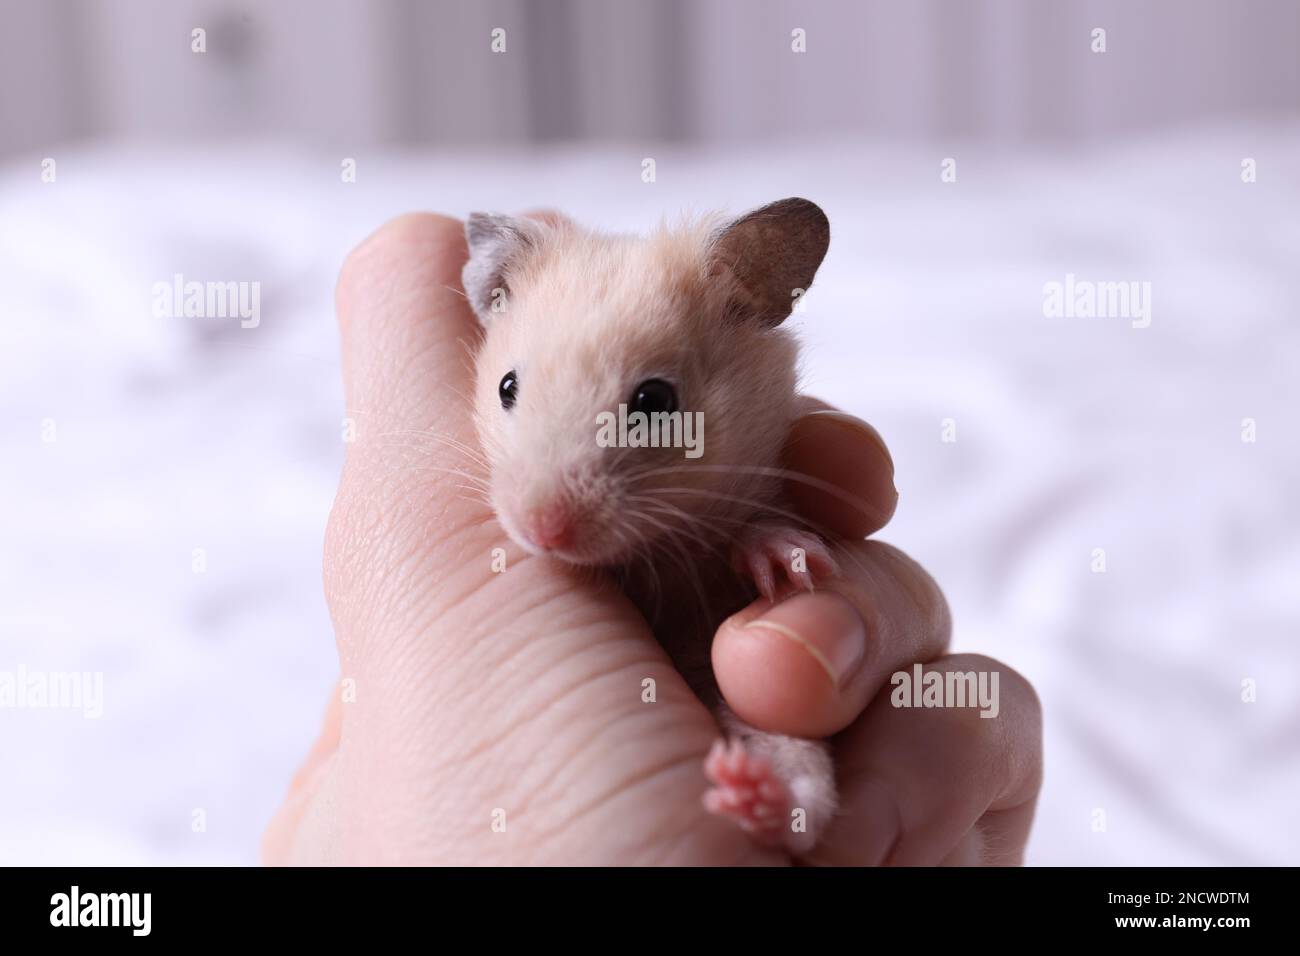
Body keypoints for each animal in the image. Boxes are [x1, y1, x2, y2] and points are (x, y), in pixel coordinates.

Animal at [462, 198, 838, 854]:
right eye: (507, 387)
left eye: (655, 401)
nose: (541, 531)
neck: (656, 552)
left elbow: (755, 536)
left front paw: (789, 564)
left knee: (804, 814)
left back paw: (753, 793)